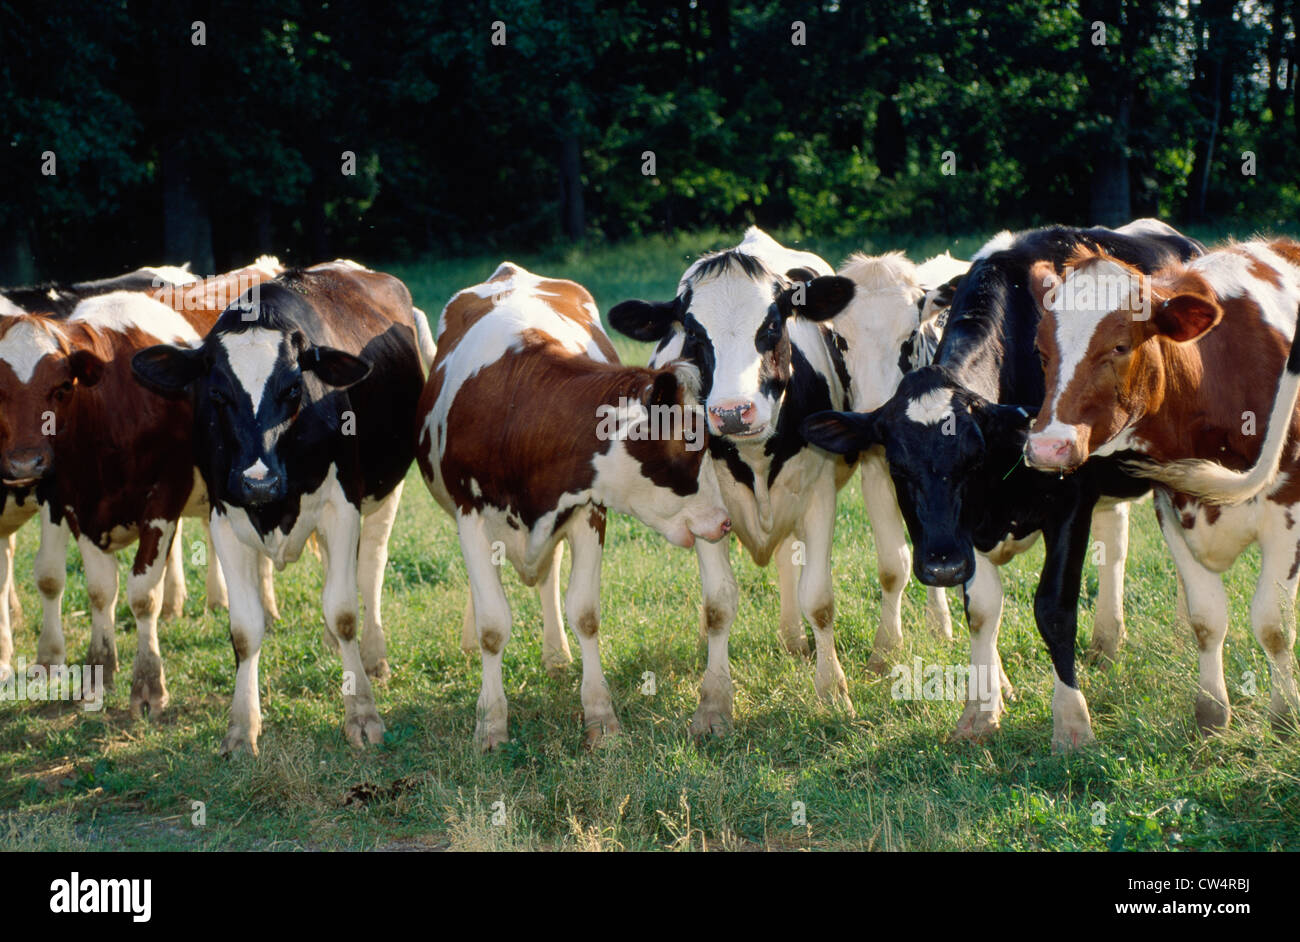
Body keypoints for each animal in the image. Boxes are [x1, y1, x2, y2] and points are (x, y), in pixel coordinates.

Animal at [0, 259, 282, 688]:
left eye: (62, 386)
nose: (24, 463)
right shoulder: (73, 500)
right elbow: (99, 588)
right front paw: (95, 666)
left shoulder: (160, 494)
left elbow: (125, 589)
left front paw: (143, 681)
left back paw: (262, 606)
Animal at [131, 260, 433, 755]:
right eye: (216, 394)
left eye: (294, 388)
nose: (260, 481)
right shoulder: (224, 518)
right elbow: (244, 629)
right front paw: (241, 728)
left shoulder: (342, 505)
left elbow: (344, 610)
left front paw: (362, 712)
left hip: (387, 490)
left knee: (370, 569)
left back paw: (372, 655)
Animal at [416, 263, 730, 749]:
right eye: (690, 449)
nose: (724, 522)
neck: (523, 412)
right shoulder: (470, 515)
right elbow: (492, 624)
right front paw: (490, 723)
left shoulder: (587, 511)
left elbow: (584, 613)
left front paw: (600, 718)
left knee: (548, 576)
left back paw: (556, 655)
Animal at [802, 220, 1205, 751]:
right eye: (899, 469)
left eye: (971, 460)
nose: (943, 565)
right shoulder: (969, 532)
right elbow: (981, 613)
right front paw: (980, 712)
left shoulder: (1070, 500)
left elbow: (1053, 609)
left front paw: (1072, 722)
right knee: (1116, 544)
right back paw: (1107, 640)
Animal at [1024, 238, 1300, 734]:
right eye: (1041, 350)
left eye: (1119, 345)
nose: (1047, 446)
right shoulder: (1172, 504)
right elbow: (1207, 617)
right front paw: (1211, 712)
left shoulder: (1288, 508)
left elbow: (1274, 623)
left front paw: (1284, 714)